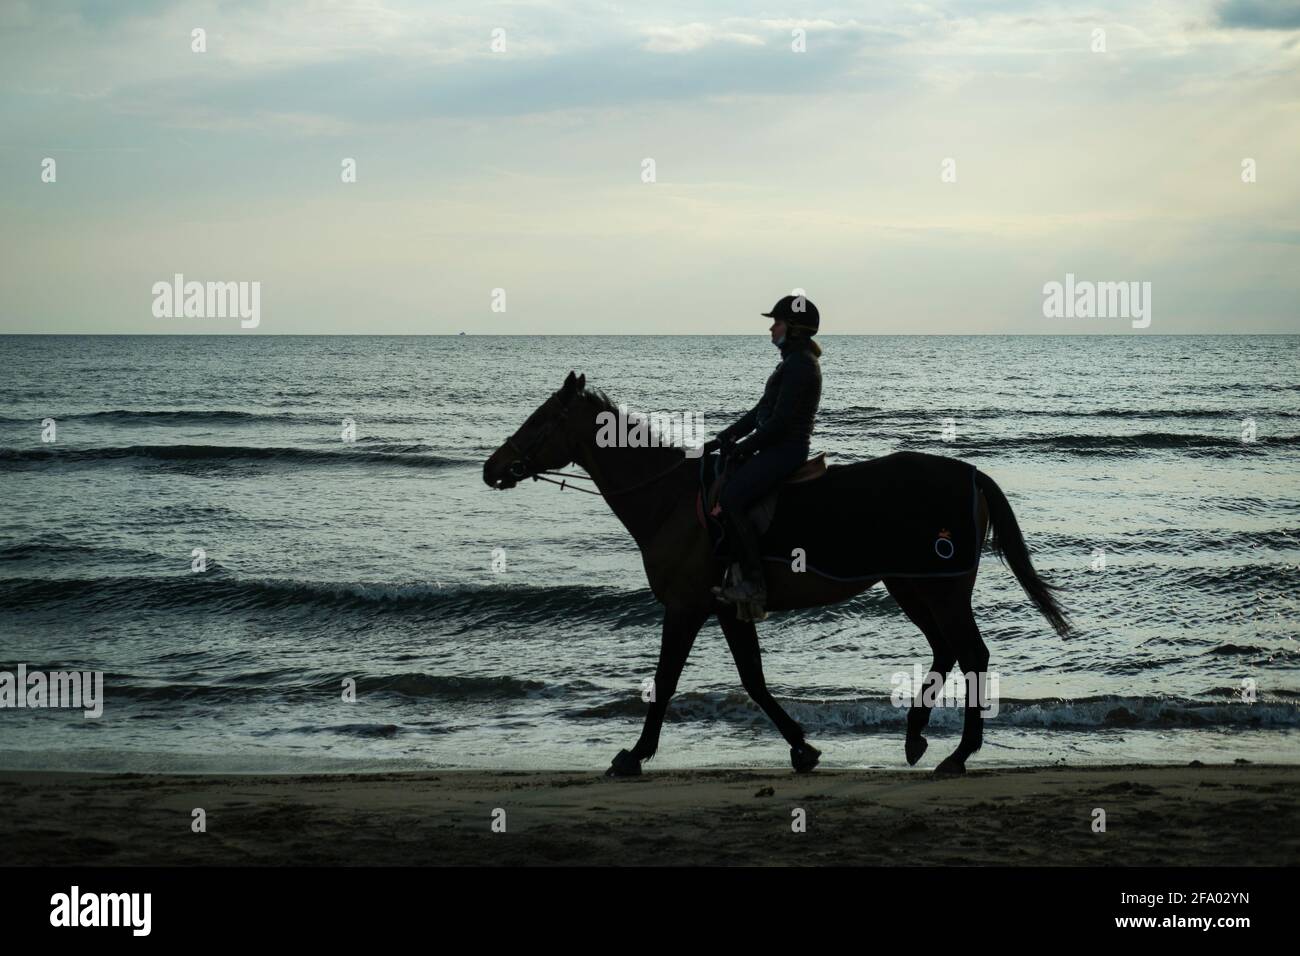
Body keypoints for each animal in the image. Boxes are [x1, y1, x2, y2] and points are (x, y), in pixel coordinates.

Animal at [483, 371, 1071, 776]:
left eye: (540, 419)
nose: (493, 468)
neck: (670, 501)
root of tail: (969, 474)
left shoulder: (686, 606)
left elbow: (667, 680)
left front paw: (633, 755)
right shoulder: (727, 608)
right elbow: (754, 680)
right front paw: (803, 747)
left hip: (941, 589)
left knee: (971, 654)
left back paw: (958, 753)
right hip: (910, 584)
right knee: (947, 650)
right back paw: (915, 737)